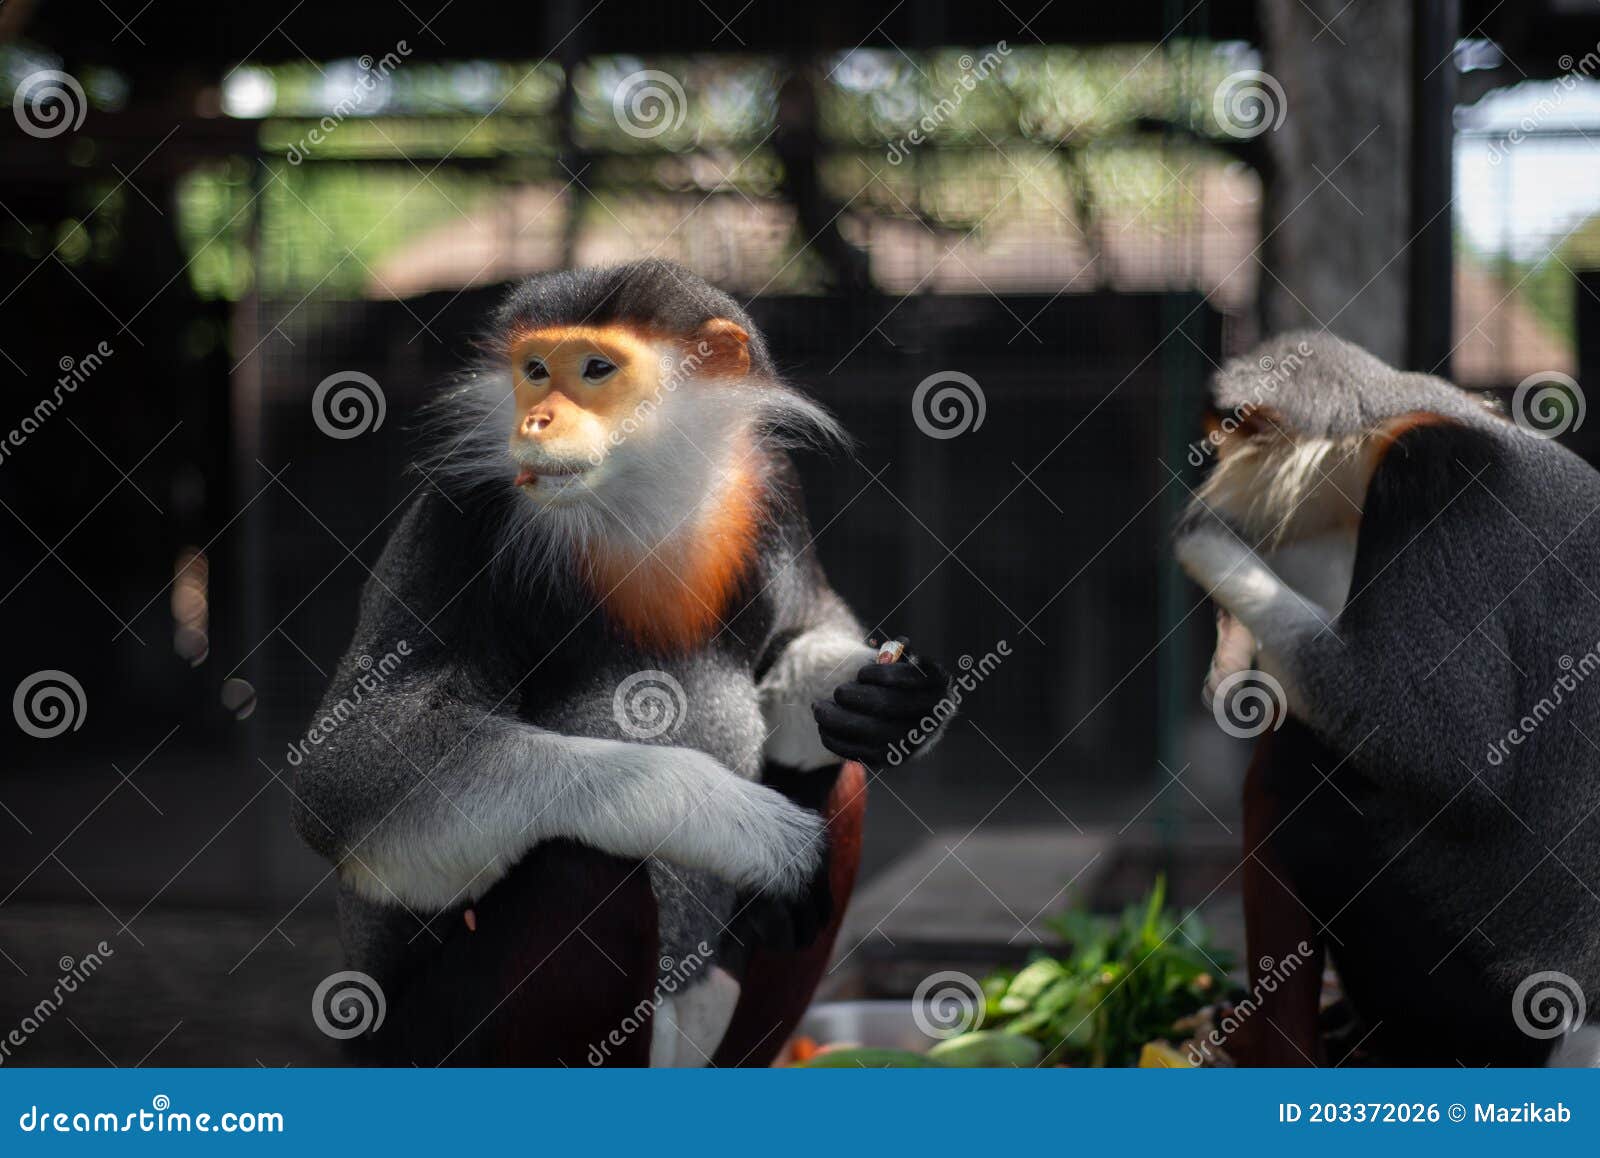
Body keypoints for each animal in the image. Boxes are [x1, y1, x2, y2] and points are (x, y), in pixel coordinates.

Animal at [290, 259, 953, 1067]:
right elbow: (347, 770)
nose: (535, 422)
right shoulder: (459, 514)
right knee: (583, 859)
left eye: (596, 370)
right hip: (420, 1043)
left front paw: (889, 698)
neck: (638, 504)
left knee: (843, 775)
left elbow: (804, 639)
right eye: (535, 372)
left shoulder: (767, 483)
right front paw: (742, 826)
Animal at [1174, 331, 1600, 1065]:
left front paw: (1207, 541)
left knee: (1295, 770)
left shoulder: (1432, 477)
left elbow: (1454, 759)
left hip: (1472, 1006)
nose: (1213, 477)